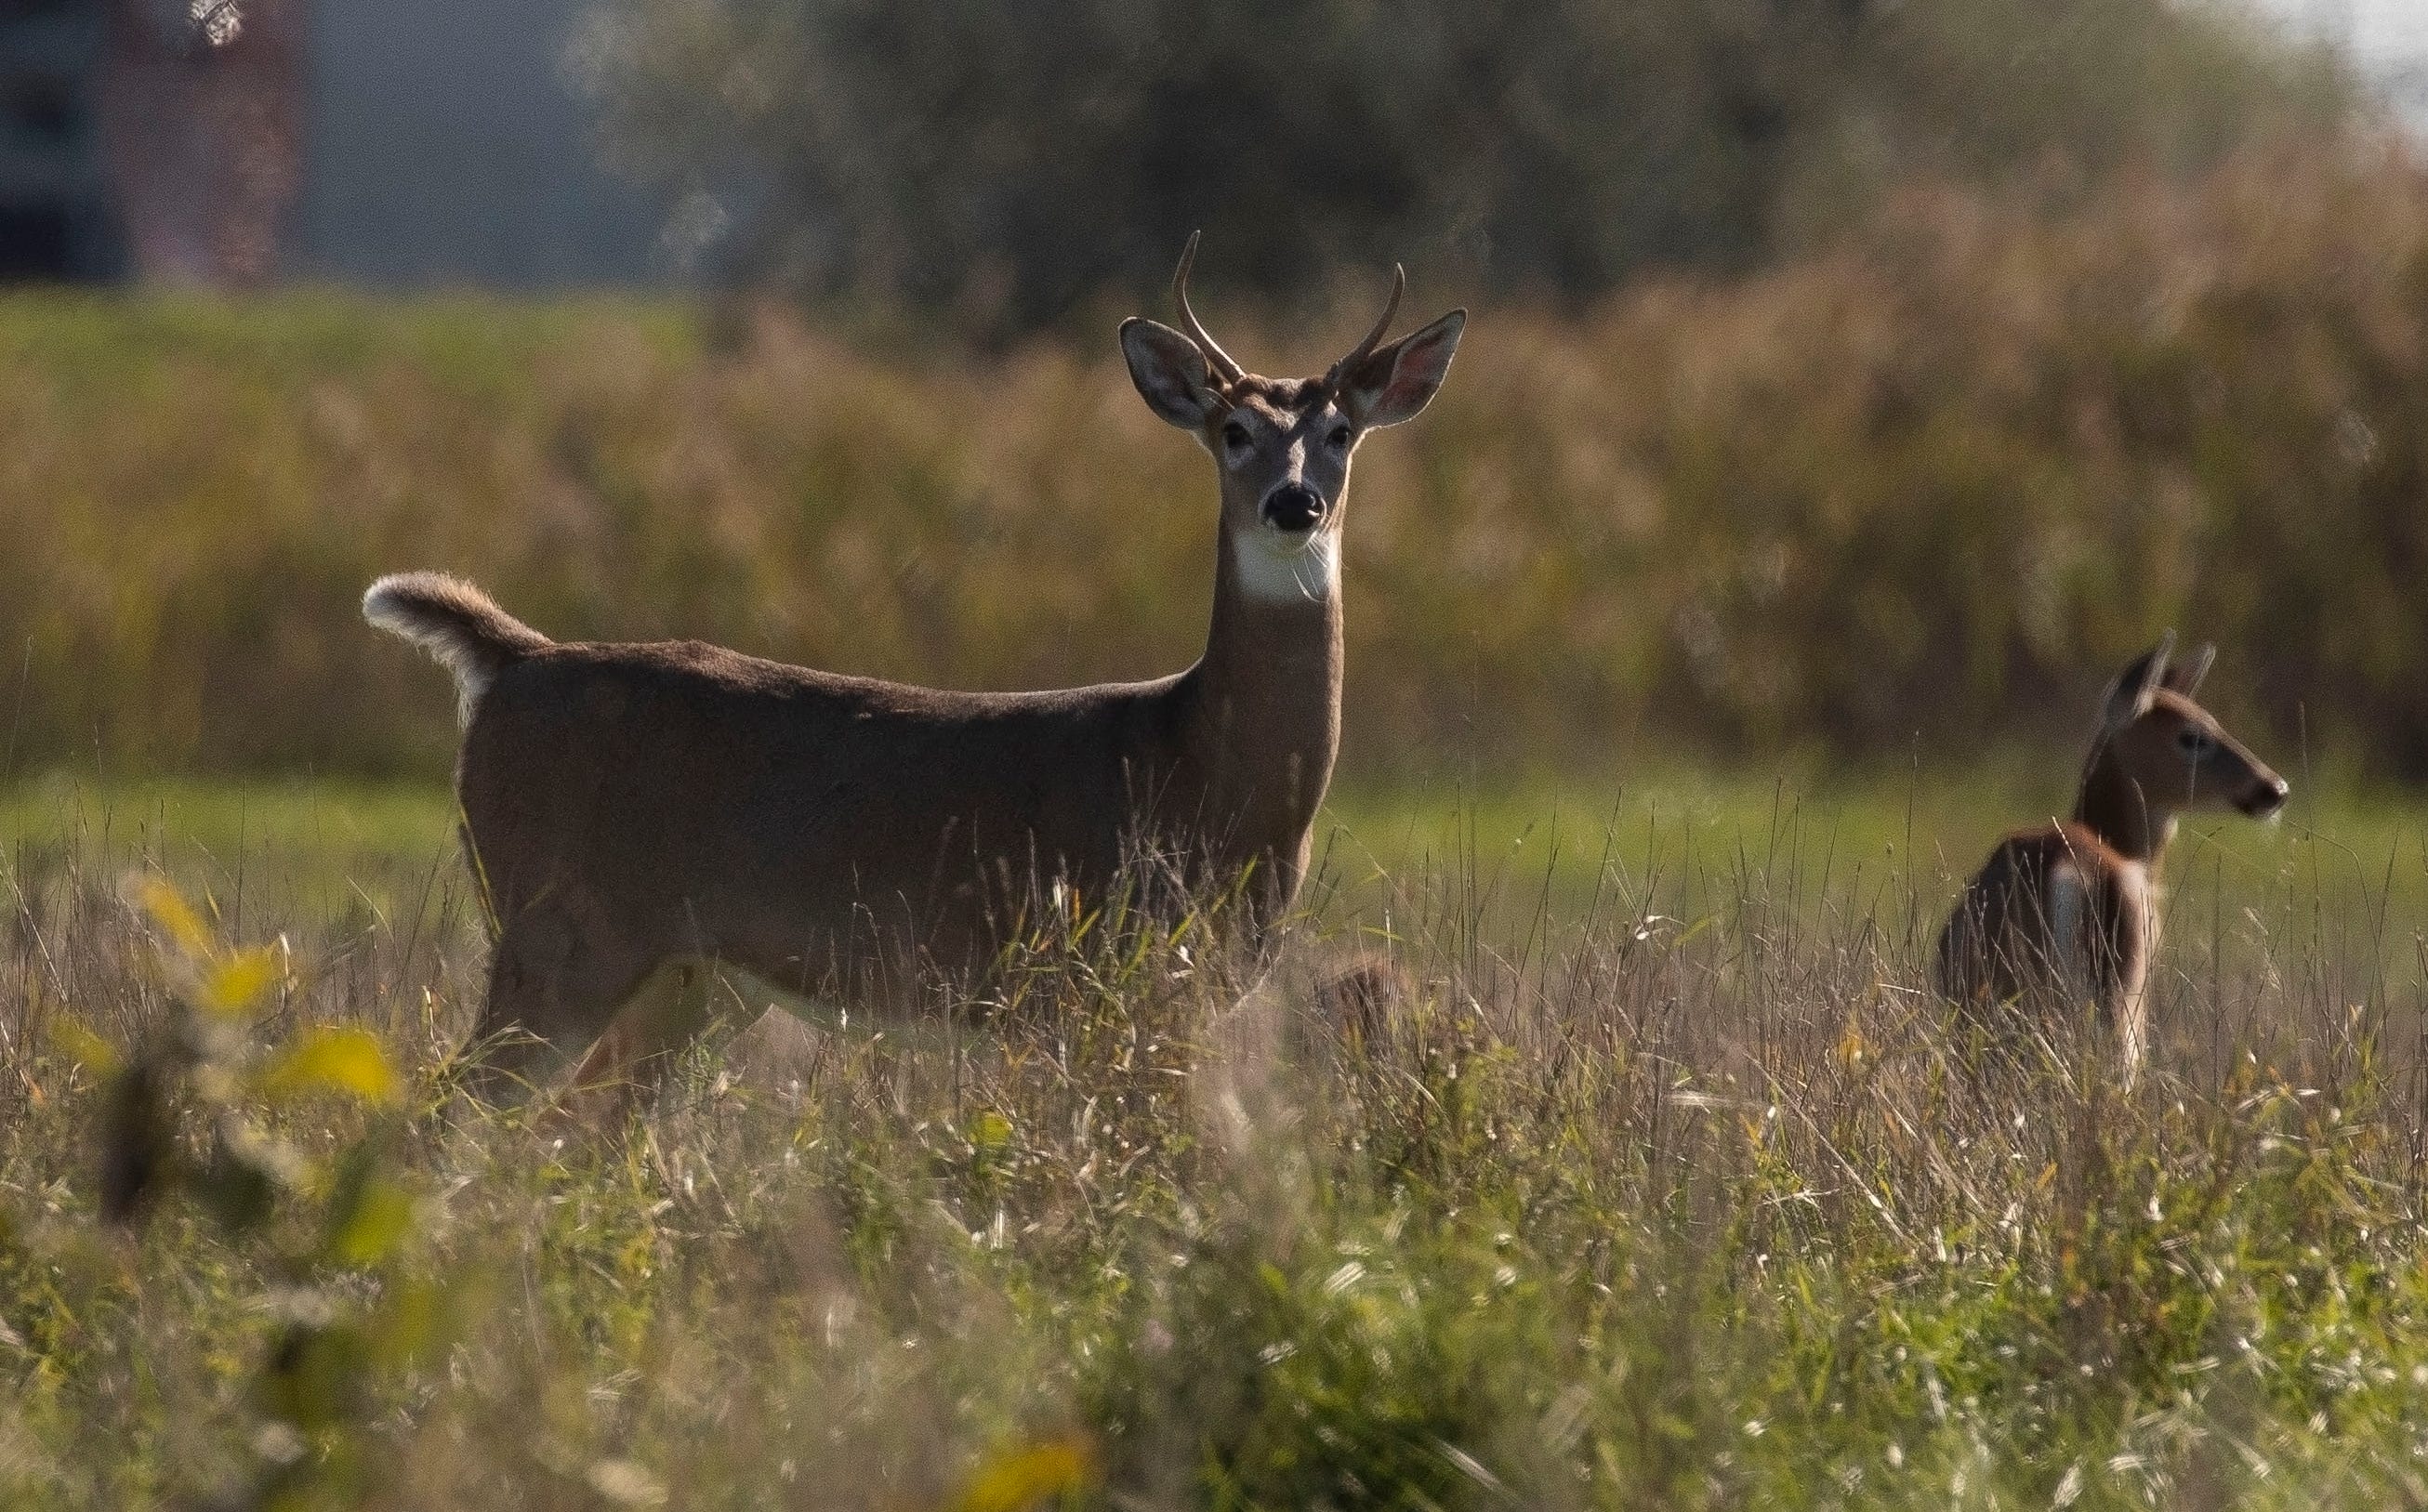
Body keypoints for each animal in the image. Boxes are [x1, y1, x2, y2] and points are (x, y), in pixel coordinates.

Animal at [364, 235, 1465, 1097]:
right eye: (1231, 430)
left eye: (1339, 431)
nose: (1294, 503)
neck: (1198, 769)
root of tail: (514, 661)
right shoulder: (1062, 982)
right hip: (555, 925)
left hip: (686, 981)